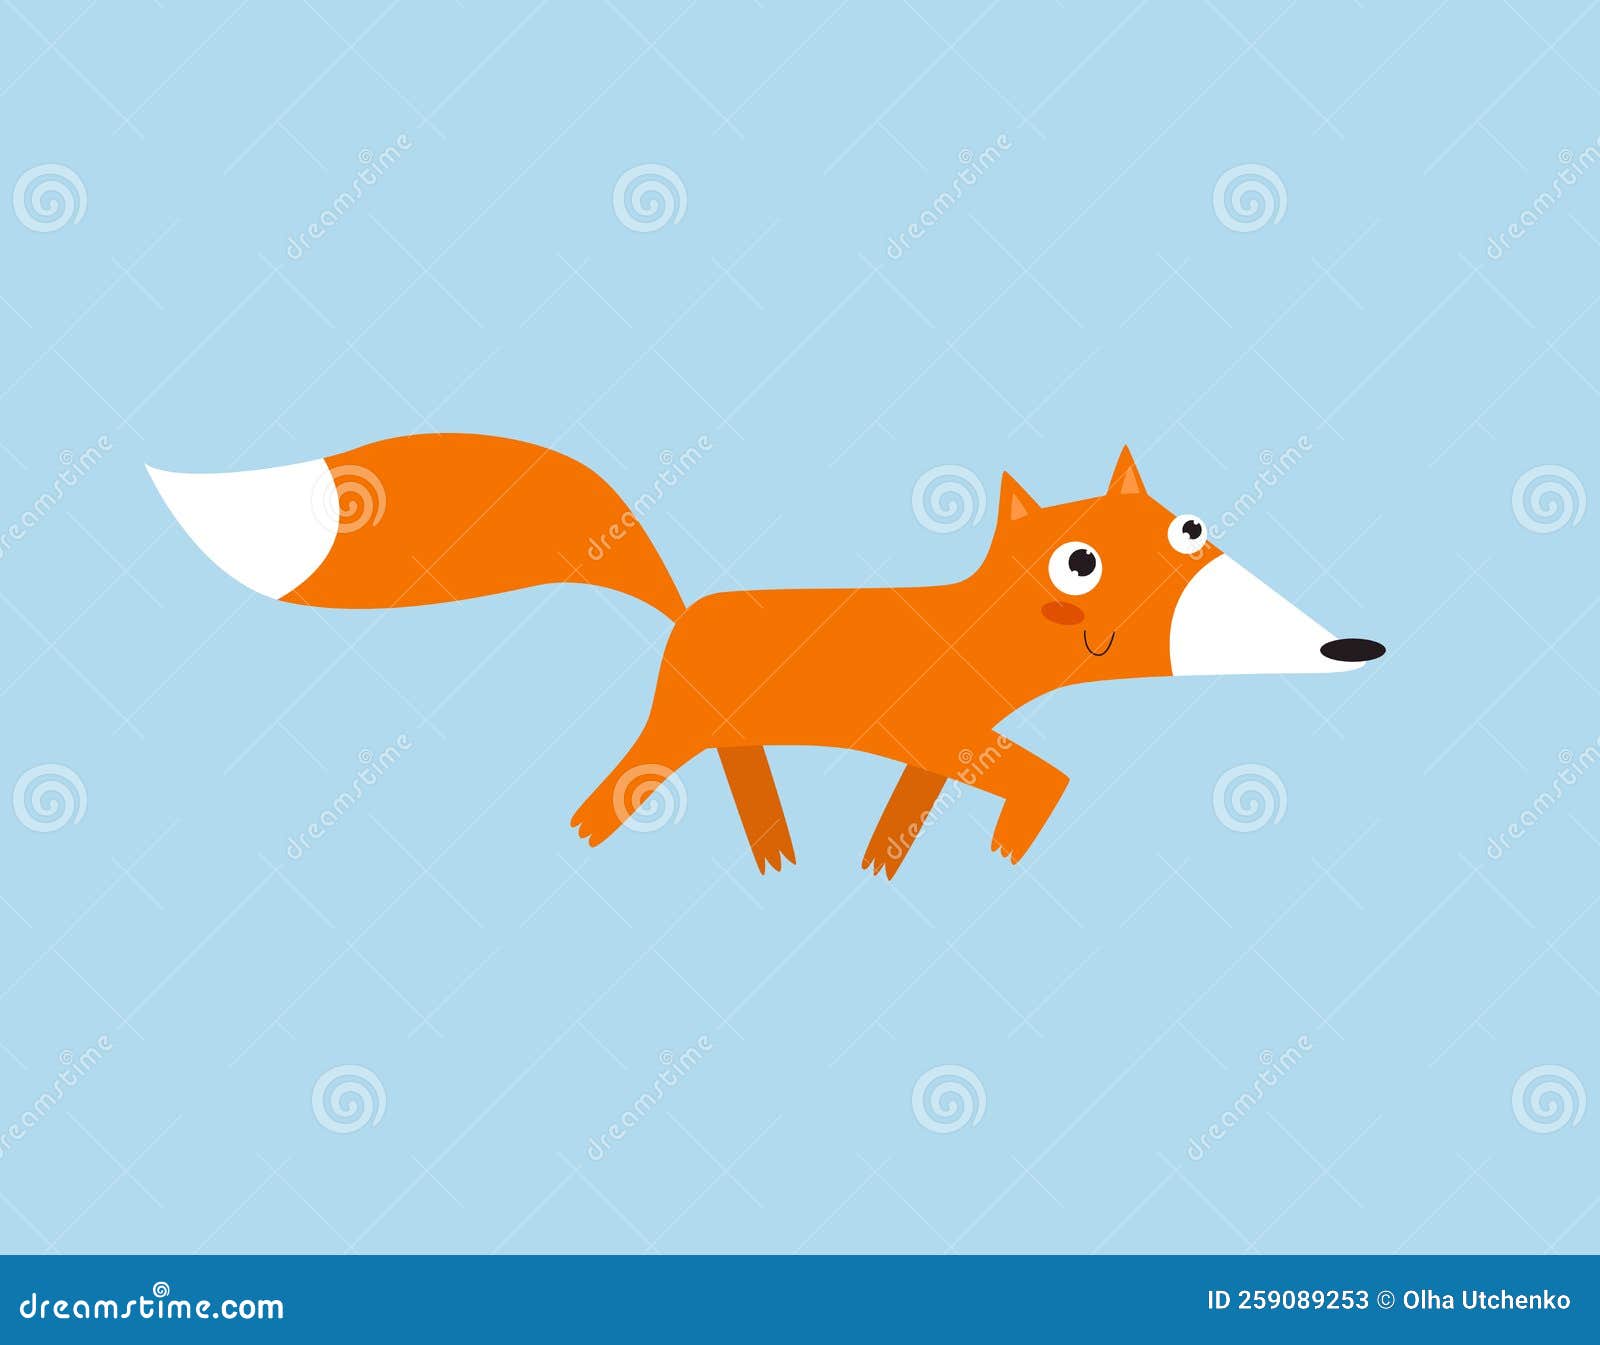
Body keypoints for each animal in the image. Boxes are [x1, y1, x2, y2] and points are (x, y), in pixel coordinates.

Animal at [148, 435, 1383, 878]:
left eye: (1192, 532)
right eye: (1081, 565)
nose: (1352, 645)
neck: (976, 629)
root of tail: (682, 608)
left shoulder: (935, 746)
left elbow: (918, 807)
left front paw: (885, 861)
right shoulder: (938, 726)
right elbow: (1044, 774)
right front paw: (1003, 840)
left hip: (728, 730)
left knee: (742, 775)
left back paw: (779, 848)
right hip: (674, 729)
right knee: (618, 788)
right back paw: (599, 840)